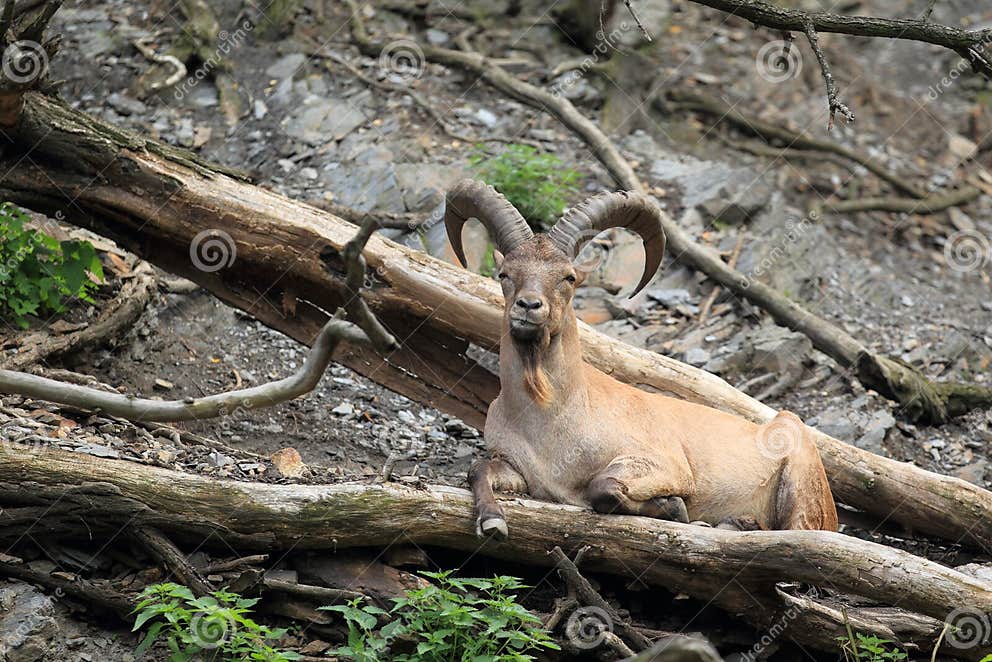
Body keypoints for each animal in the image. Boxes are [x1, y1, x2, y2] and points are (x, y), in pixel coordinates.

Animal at [444, 180, 838, 539]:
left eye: (568, 277)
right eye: (505, 274)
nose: (528, 306)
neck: (552, 418)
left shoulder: (665, 466)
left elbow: (603, 487)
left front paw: (674, 507)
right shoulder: (518, 469)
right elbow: (477, 470)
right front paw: (492, 521)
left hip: (801, 491)